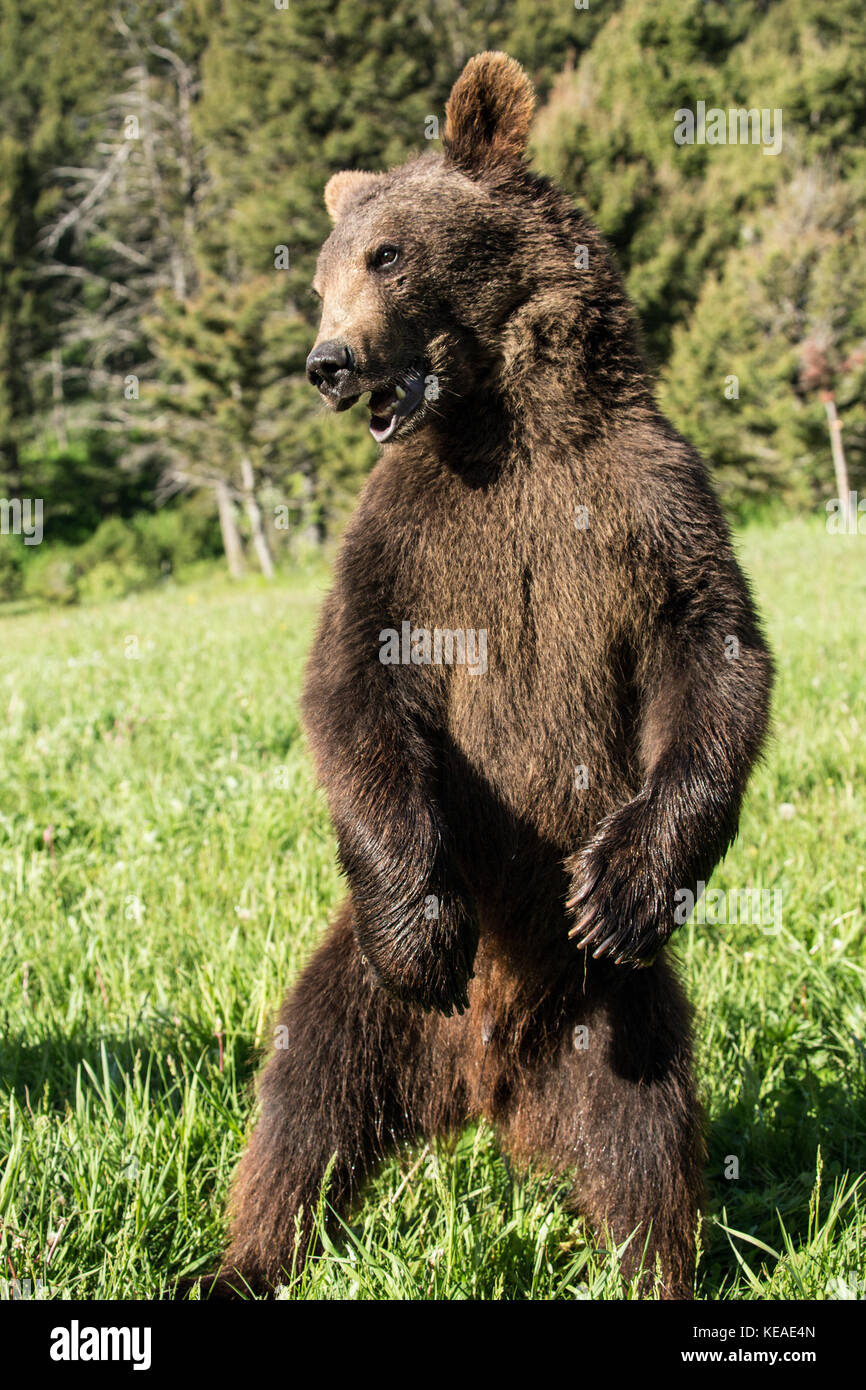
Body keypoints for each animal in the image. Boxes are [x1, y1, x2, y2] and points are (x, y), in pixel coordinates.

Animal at [209, 51, 773, 1300]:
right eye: (317, 276)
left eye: (386, 253)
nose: (328, 364)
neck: (508, 429)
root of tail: (482, 1086)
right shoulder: (411, 540)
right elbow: (351, 684)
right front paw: (426, 923)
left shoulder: (645, 508)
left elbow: (714, 662)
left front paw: (620, 880)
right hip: (360, 984)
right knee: (306, 1097)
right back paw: (242, 1259)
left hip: (612, 1009)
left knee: (645, 1132)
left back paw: (645, 1265)